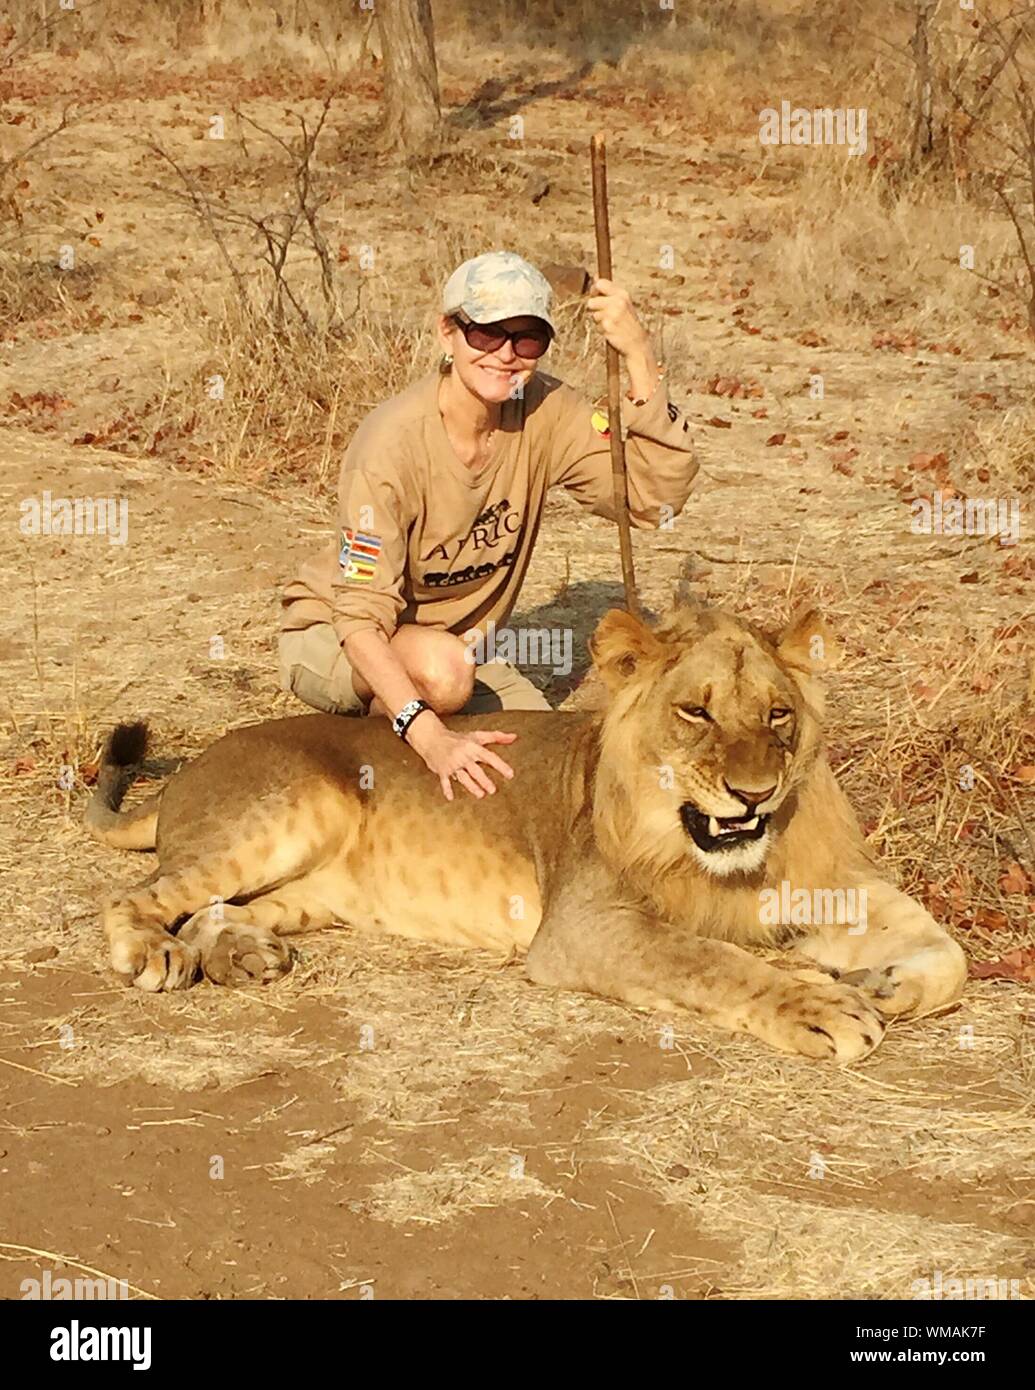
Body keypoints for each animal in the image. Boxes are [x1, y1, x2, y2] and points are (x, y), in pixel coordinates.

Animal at [85, 604, 966, 1061]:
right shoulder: (584, 927)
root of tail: (197, 763)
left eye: (778, 715)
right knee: (138, 900)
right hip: (293, 811)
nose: (754, 793)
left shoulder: (817, 880)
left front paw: (879, 983)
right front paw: (825, 1007)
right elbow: (708, 961)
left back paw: (244, 957)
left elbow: (945, 950)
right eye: (695, 711)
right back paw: (157, 958)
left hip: (305, 890)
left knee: (209, 911)